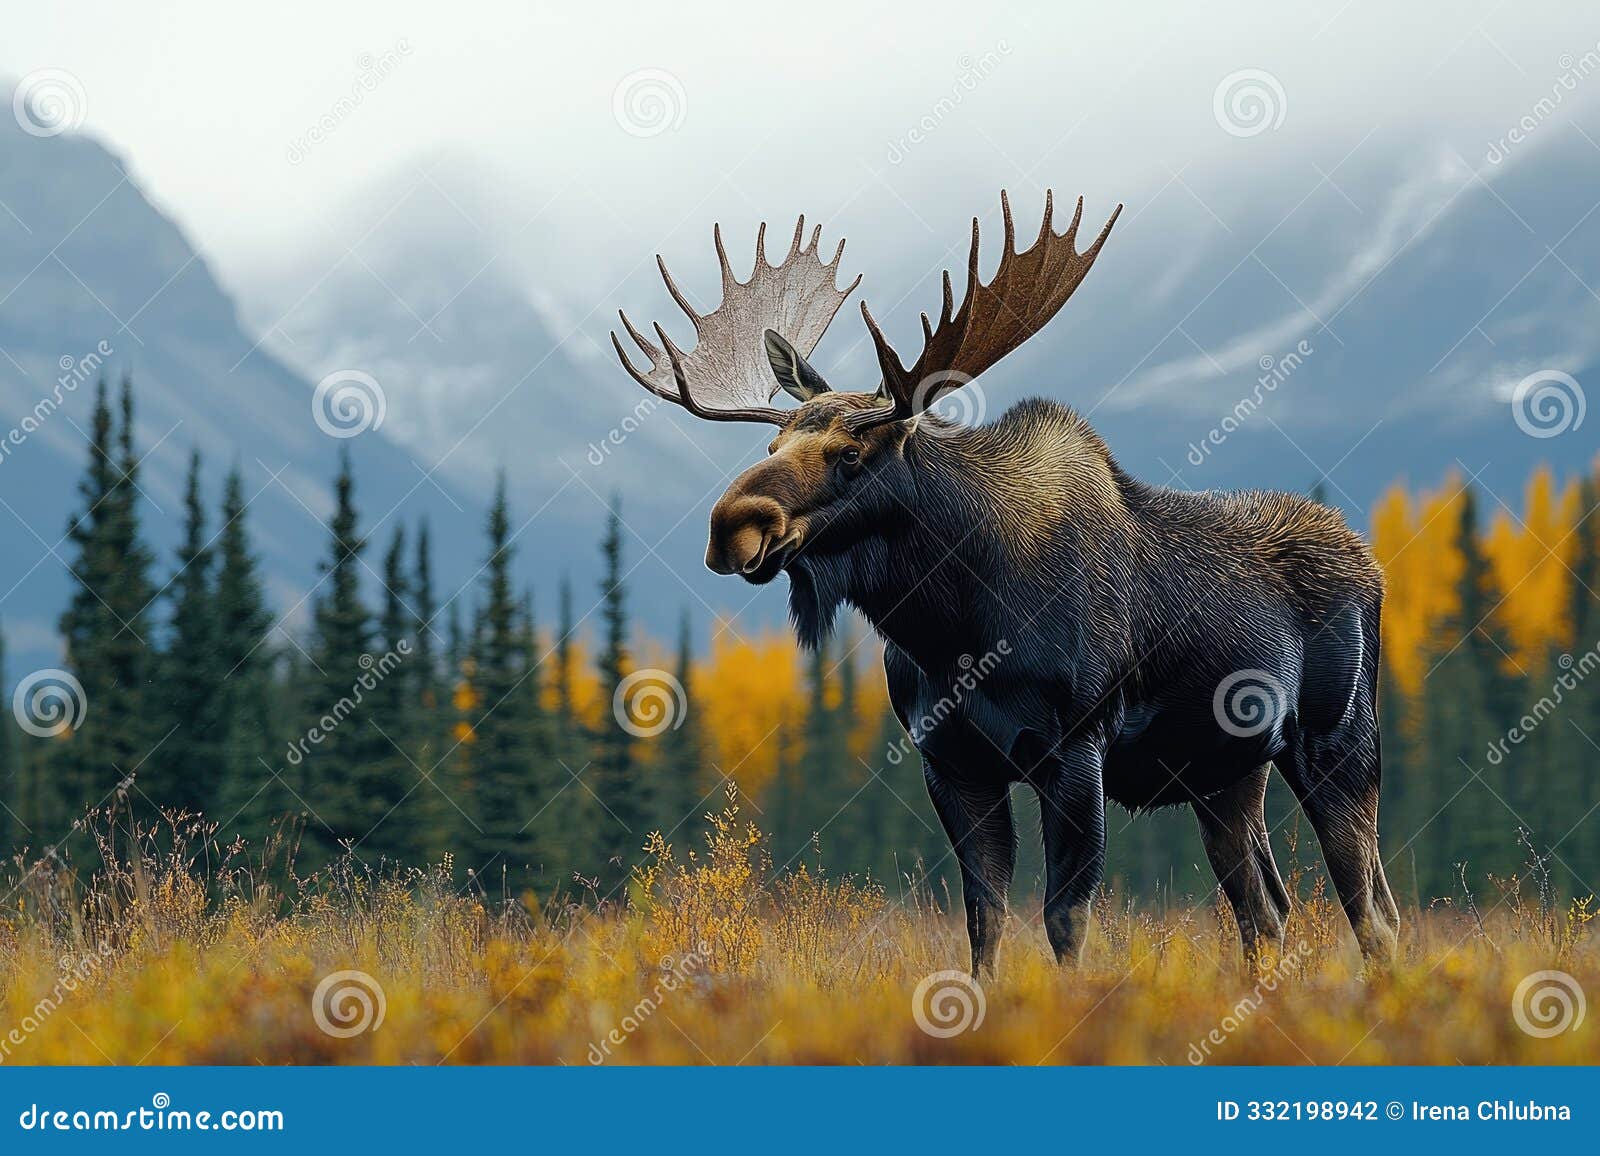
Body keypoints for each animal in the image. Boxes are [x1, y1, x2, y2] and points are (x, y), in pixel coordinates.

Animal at [613, 191, 1399, 976]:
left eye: (851, 451)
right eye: (773, 442)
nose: (731, 524)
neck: (954, 630)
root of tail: (1371, 565)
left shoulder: (1077, 750)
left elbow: (1064, 920)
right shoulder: (951, 762)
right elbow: (983, 921)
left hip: (1338, 739)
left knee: (1373, 911)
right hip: (1227, 773)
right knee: (1266, 911)